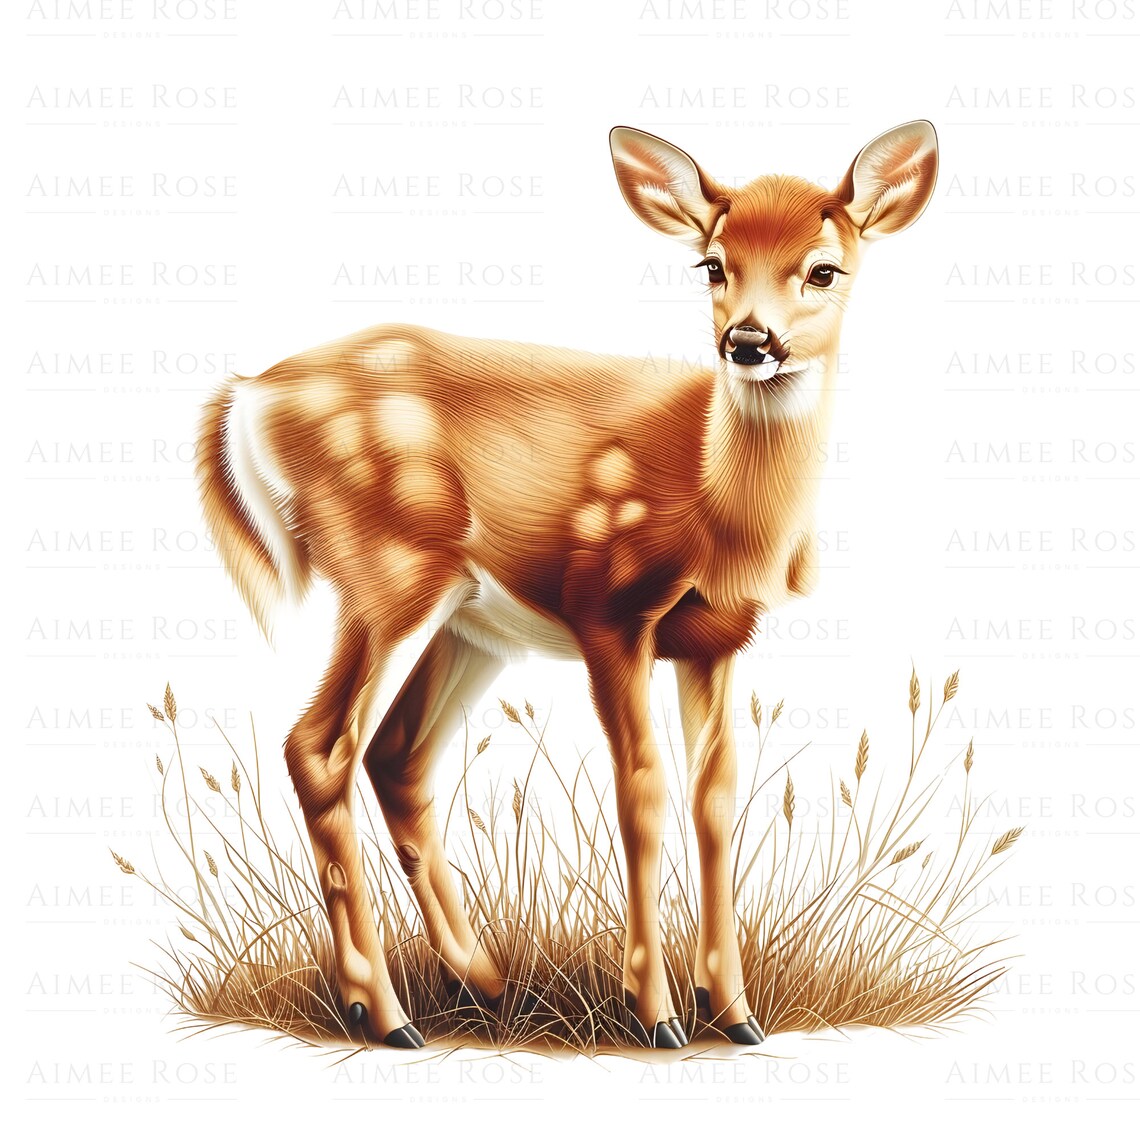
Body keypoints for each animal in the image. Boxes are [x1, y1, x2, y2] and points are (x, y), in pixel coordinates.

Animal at [196, 121, 938, 1050]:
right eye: (713, 263)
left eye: (824, 269)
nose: (748, 342)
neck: (718, 508)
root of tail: (248, 397)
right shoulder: (608, 607)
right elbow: (644, 792)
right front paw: (656, 1012)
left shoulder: (717, 639)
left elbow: (716, 797)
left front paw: (734, 1012)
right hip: (388, 568)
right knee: (319, 747)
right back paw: (385, 1011)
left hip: (470, 620)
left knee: (395, 755)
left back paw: (483, 981)